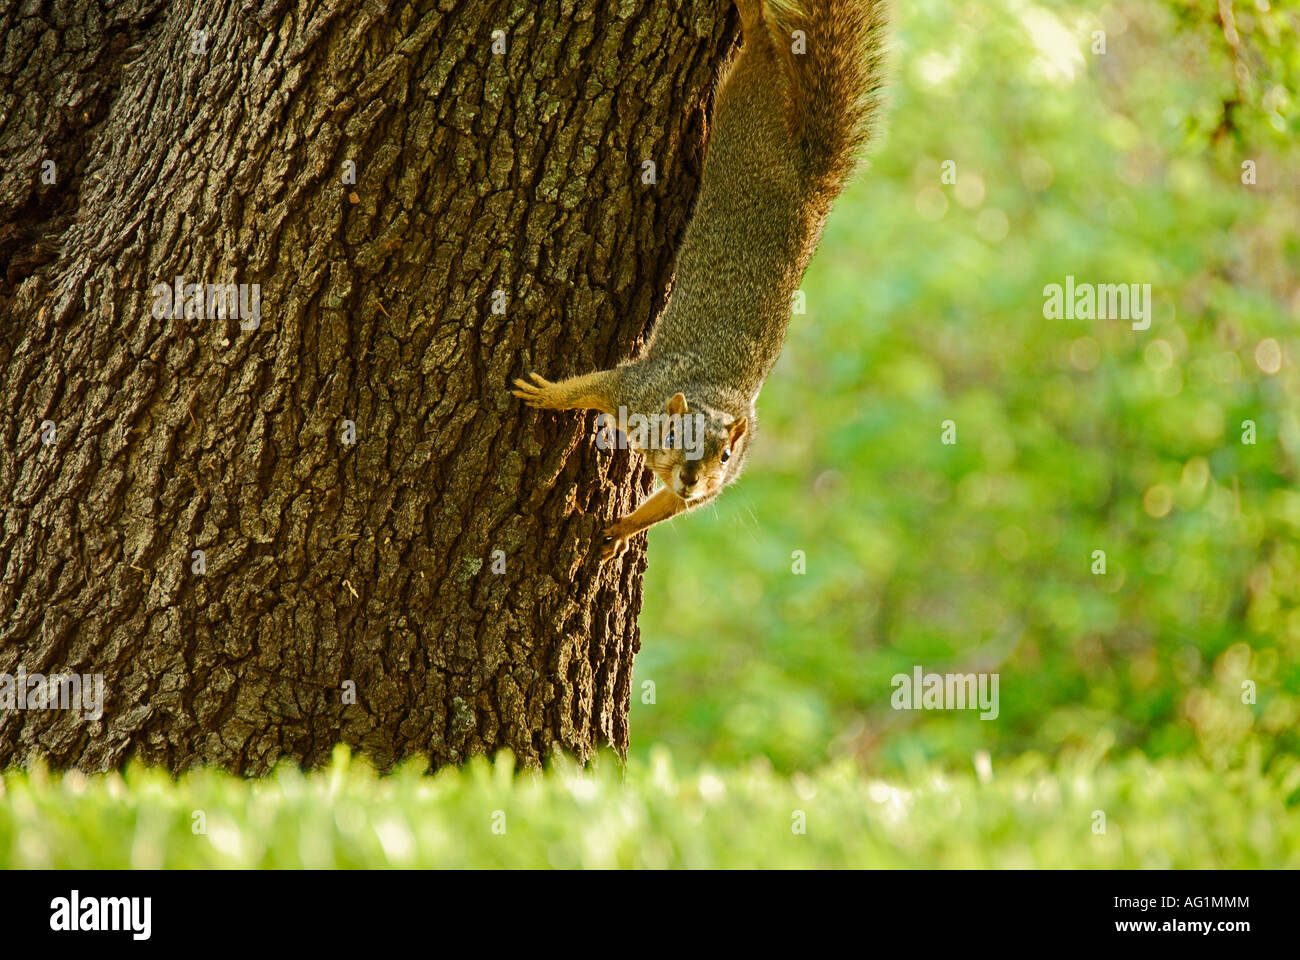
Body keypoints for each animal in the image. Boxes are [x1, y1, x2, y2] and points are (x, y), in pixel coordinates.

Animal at [513, 0, 887, 562]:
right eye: (674, 435)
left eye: (726, 455)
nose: (692, 477)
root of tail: (810, 177)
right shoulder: (636, 387)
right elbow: (593, 385)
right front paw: (549, 395)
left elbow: (667, 508)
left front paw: (622, 530)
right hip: (745, 106)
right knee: (762, 49)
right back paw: (752, 18)